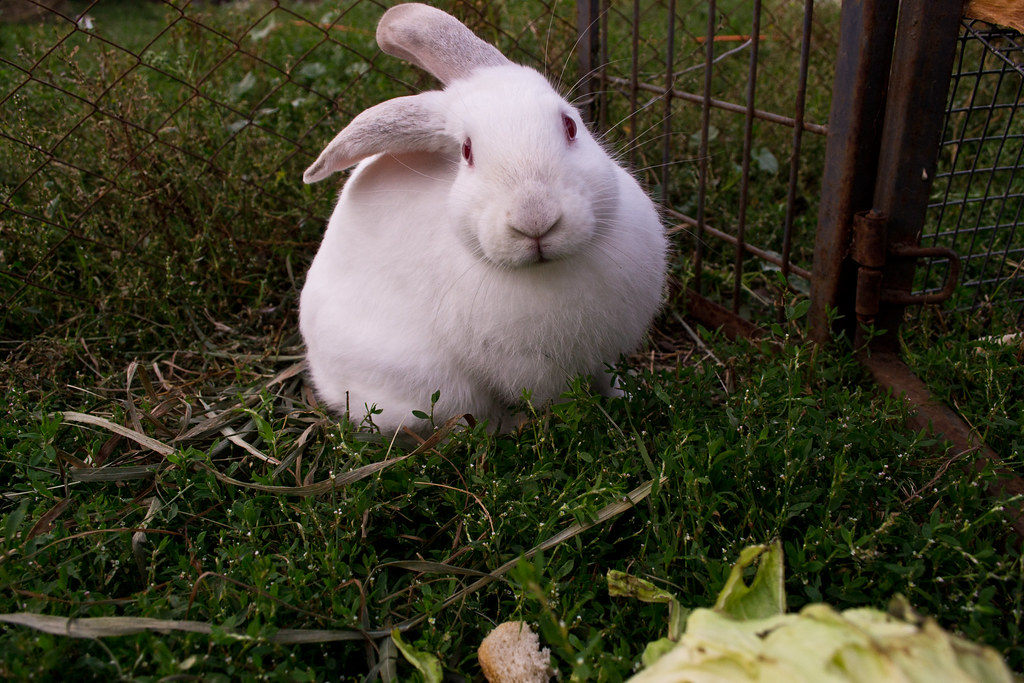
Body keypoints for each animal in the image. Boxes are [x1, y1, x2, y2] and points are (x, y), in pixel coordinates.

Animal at [300, 3, 667, 434]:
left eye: (570, 125)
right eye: (467, 151)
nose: (535, 219)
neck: (550, 268)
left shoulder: (607, 353)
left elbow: (609, 379)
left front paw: (629, 395)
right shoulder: (537, 372)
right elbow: (562, 402)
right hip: (432, 389)